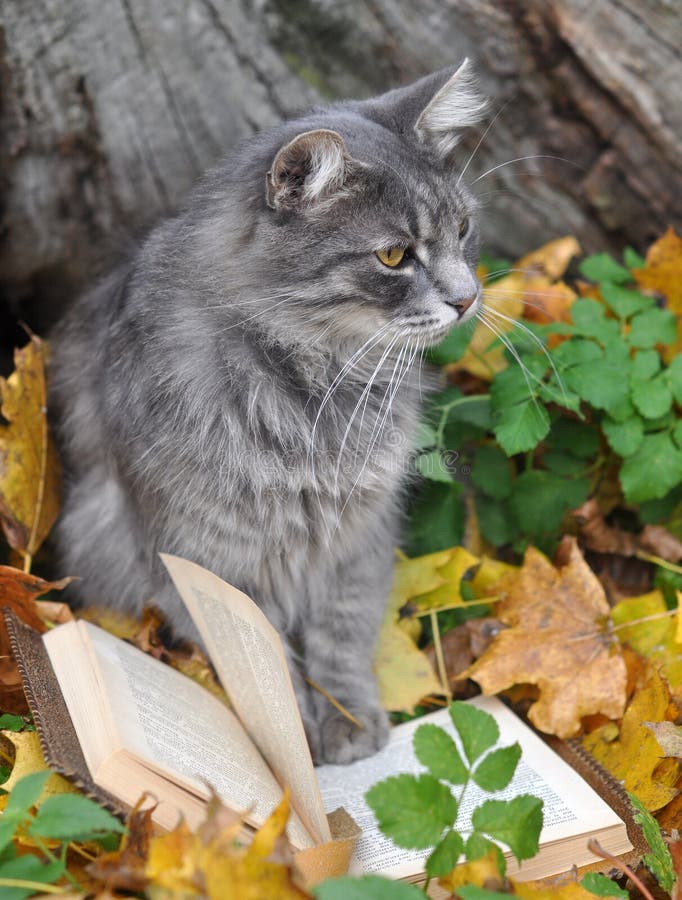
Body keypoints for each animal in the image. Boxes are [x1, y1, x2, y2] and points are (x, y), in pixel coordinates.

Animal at [49, 63, 484, 764]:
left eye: (463, 230)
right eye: (394, 256)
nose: (468, 299)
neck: (314, 386)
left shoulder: (358, 538)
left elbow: (343, 635)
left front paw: (350, 722)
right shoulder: (203, 558)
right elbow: (265, 664)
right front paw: (296, 746)